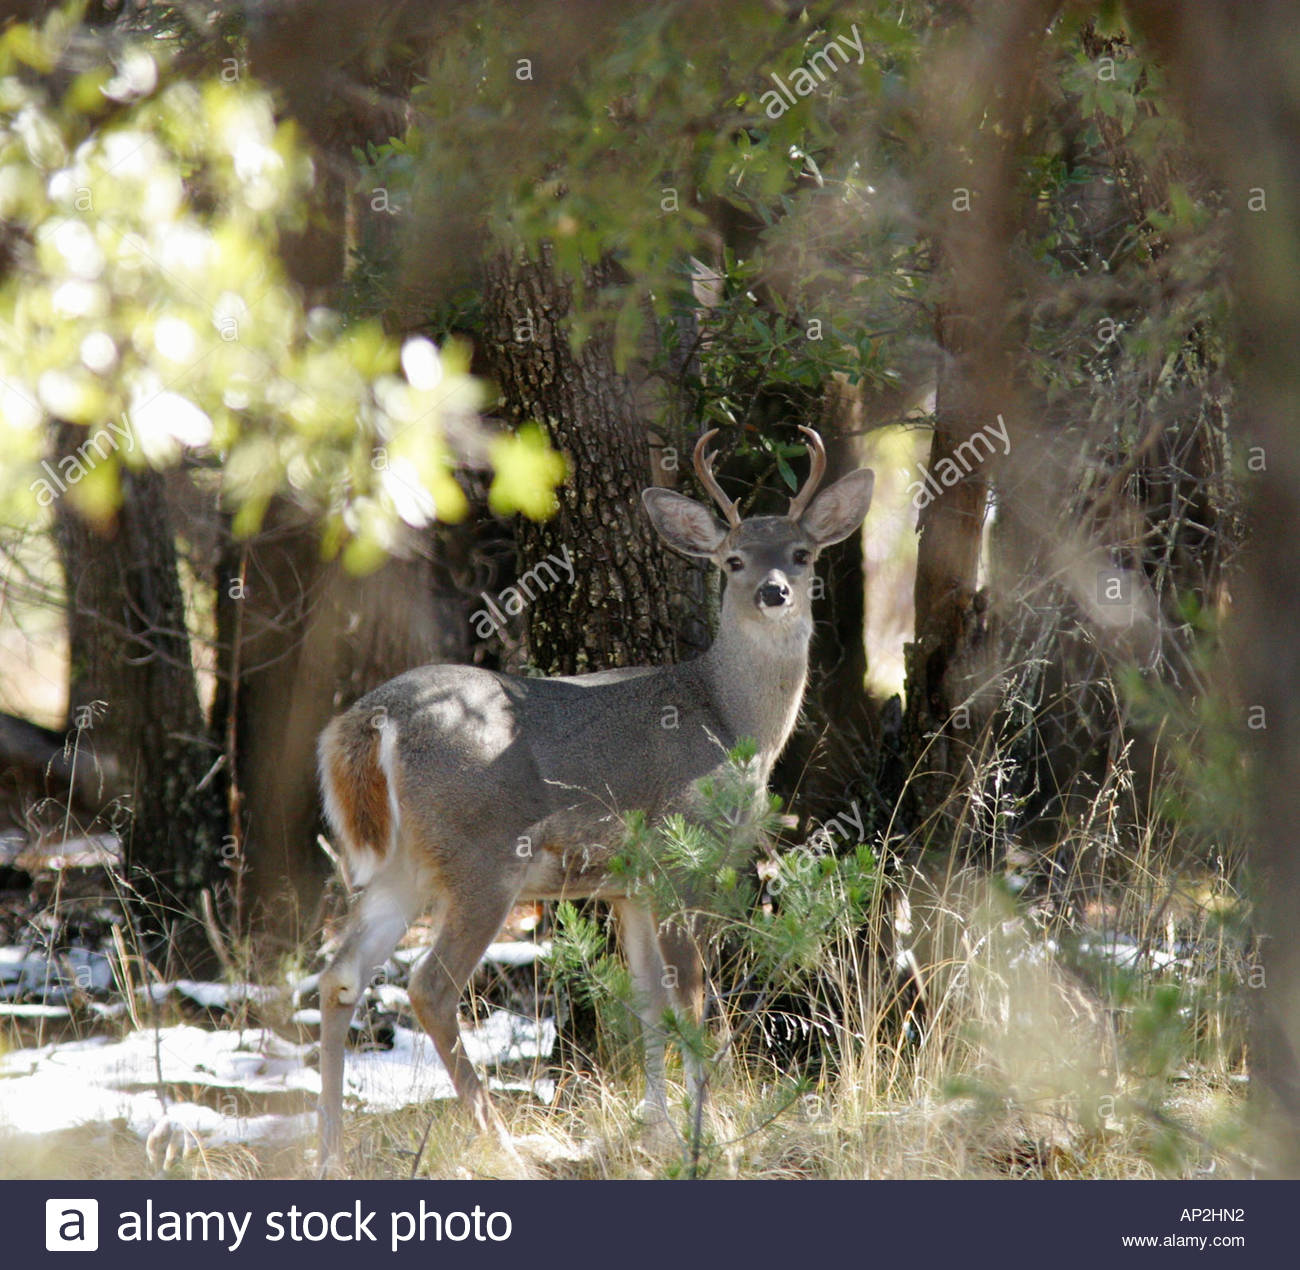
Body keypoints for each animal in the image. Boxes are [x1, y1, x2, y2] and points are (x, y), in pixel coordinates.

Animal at [314, 426, 874, 1167]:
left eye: (802, 553)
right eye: (732, 561)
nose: (775, 591)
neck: (732, 720)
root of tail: (374, 719)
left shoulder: (627, 884)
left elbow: (646, 1004)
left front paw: (658, 1124)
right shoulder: (684, 854)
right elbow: (691, 999)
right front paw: (705, 1127)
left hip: (402, 864)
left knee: (340, 975)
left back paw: (325, 1151)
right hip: (483, 854)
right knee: (430, 987)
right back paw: (506, 1146)